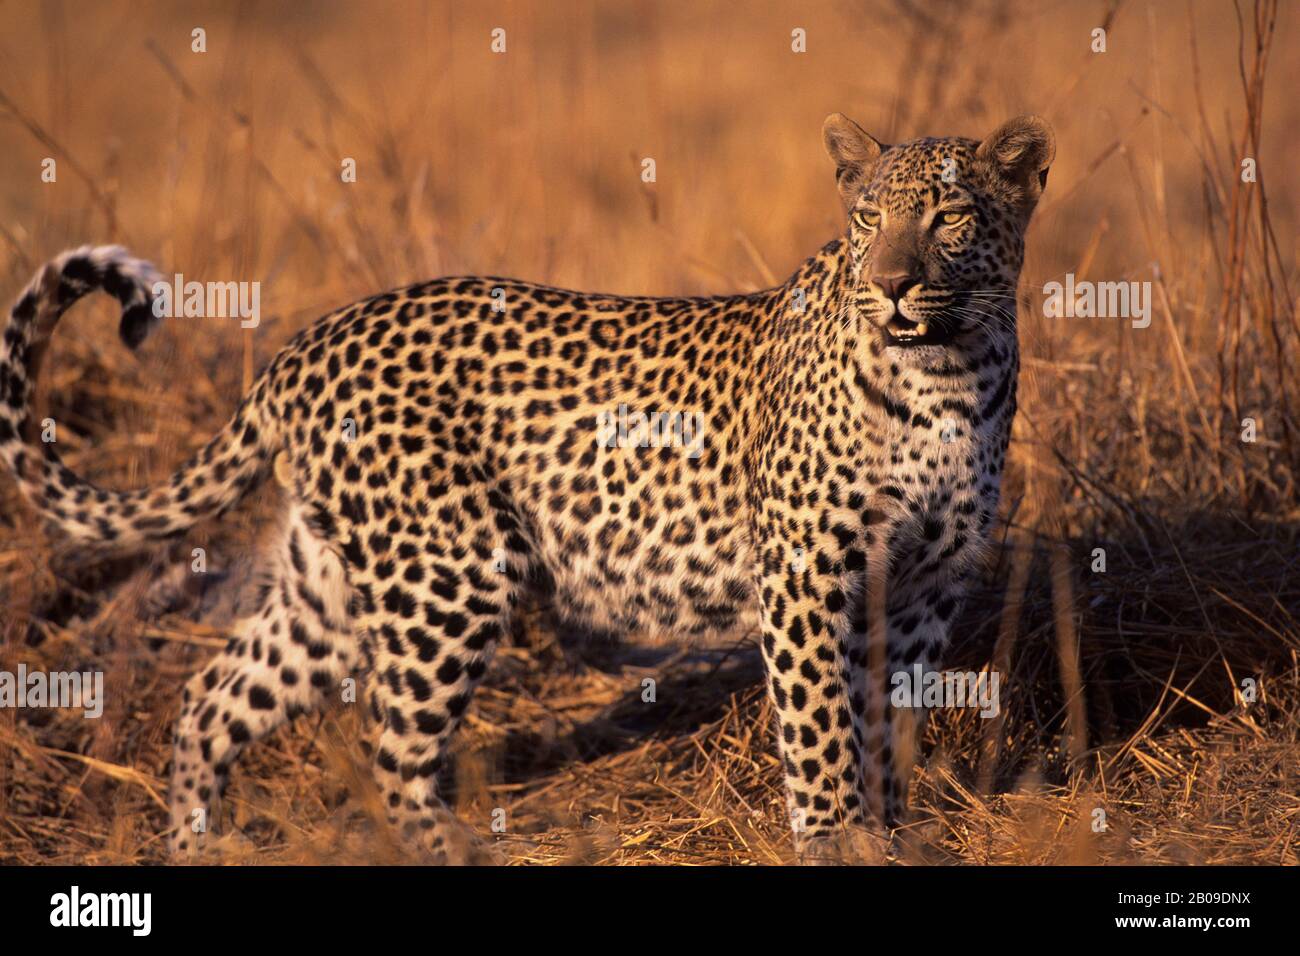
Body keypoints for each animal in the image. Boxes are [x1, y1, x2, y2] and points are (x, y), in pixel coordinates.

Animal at [0, 112, 1054, 863]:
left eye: (950, 217)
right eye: (869, 219)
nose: (893, 284)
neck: (950, 371)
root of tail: (301, 349)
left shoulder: (925, 587)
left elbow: (889, 721)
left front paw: (892, 831)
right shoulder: (806, 572)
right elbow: (823, 720)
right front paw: (837, 839)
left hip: (331, 586)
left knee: (213, 694)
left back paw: (196, 843)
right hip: (448, 574)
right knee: (389, 744)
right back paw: (451, 847)